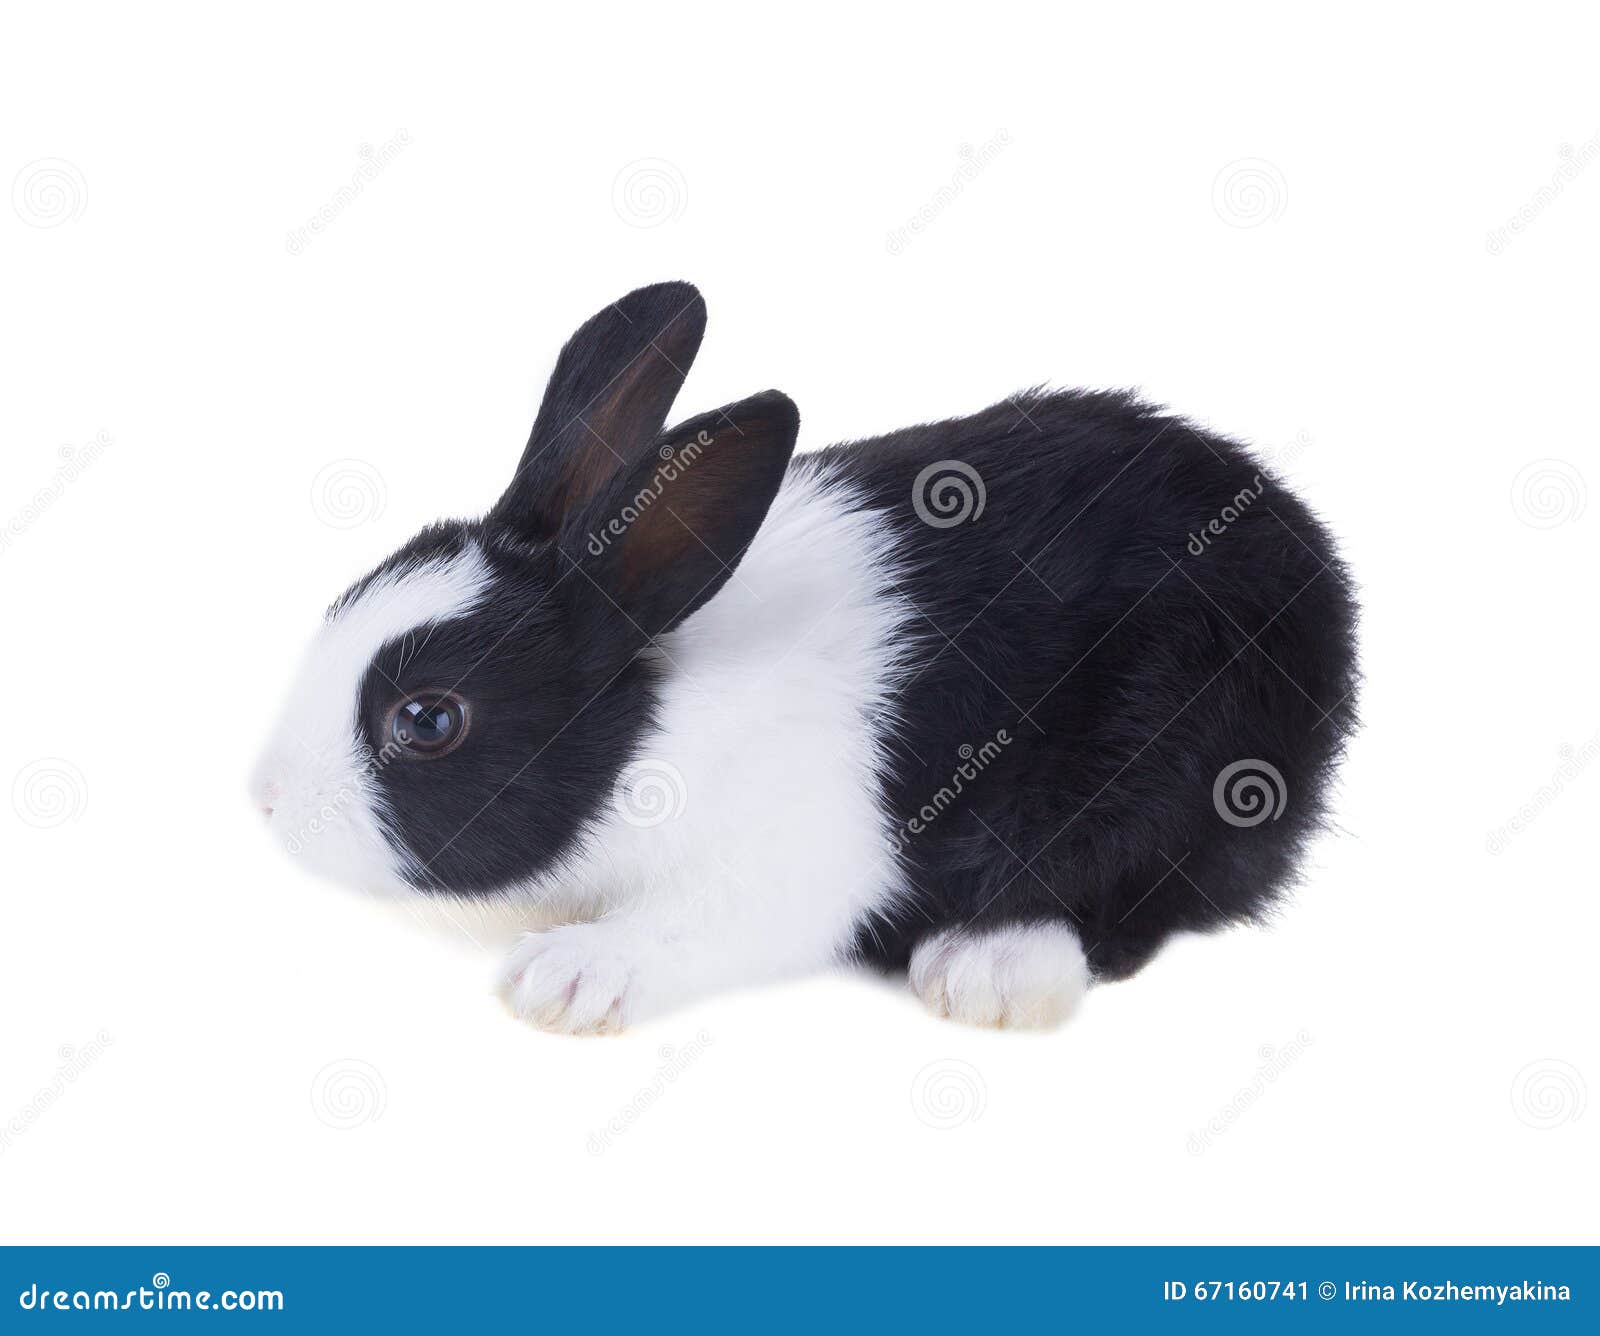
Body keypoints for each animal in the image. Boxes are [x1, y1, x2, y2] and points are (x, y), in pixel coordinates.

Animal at [254, 281, 1358, 1034]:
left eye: (427, 720)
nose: (266, 798)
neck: (654, 721)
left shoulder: (800, 855)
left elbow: (700, 920)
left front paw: (567, 978)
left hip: (1189, 752)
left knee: (1140, 898)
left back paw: (992, 967)